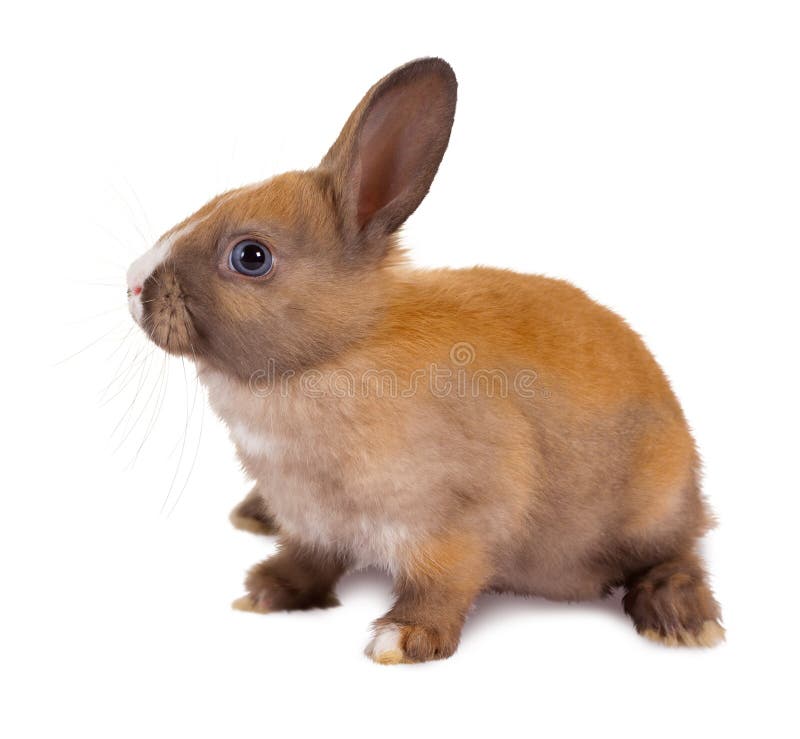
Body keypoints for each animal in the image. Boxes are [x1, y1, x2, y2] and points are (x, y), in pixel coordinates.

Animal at [125, 57, 724, 663]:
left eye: (251, 257)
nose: (133, 283)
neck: (338, 352)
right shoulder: (314, 524)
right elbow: (310, 558)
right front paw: (269, 590)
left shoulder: (457, 522)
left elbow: (444, 582)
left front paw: (403, 638)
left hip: (651, 506)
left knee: (678, 552)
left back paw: (680, 618)